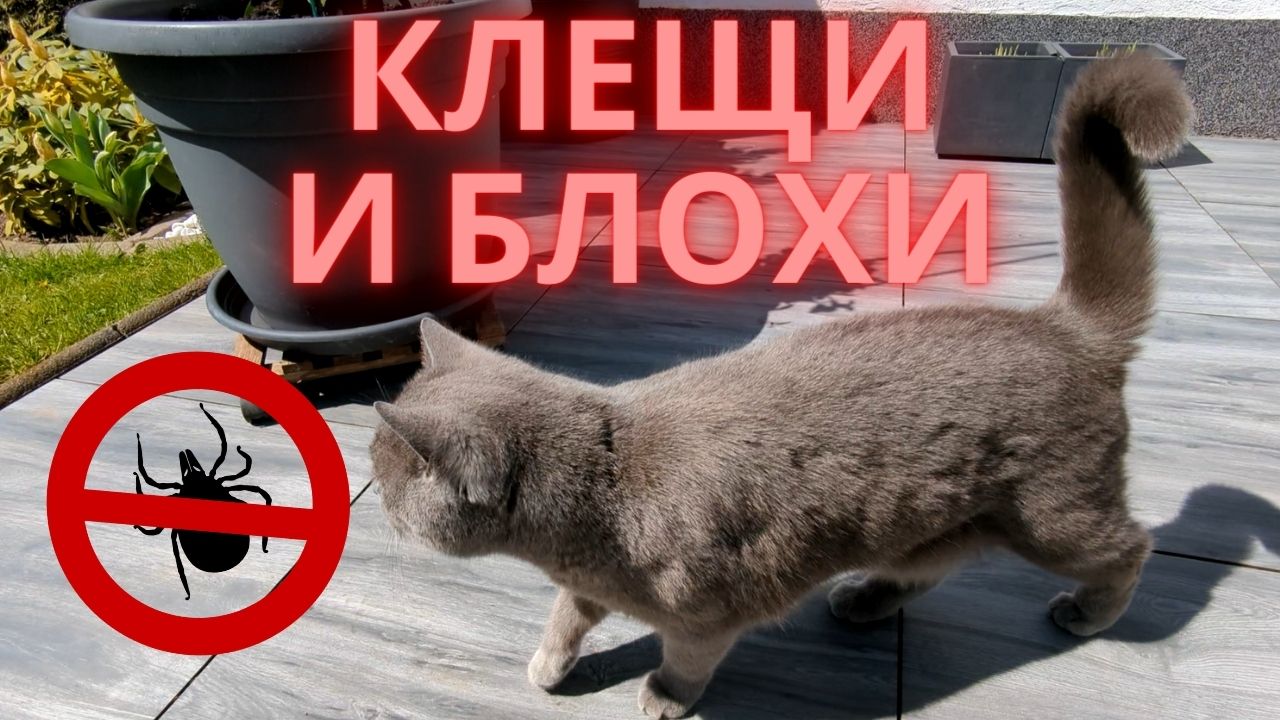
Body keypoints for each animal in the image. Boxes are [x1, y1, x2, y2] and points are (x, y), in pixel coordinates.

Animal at [369, 52, 1192, 719]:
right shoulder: (585, 583)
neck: (601, 491)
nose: (374, 507)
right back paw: (864, 596)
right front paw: (547, 665)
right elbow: (566, 616)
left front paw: (663, 696)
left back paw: (1088, 611)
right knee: (930, 566)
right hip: (938, 521)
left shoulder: (708, 615)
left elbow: (686, 656)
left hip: (1053, 511)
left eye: (385, 480)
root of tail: (1066, 326)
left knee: (1132, 546)